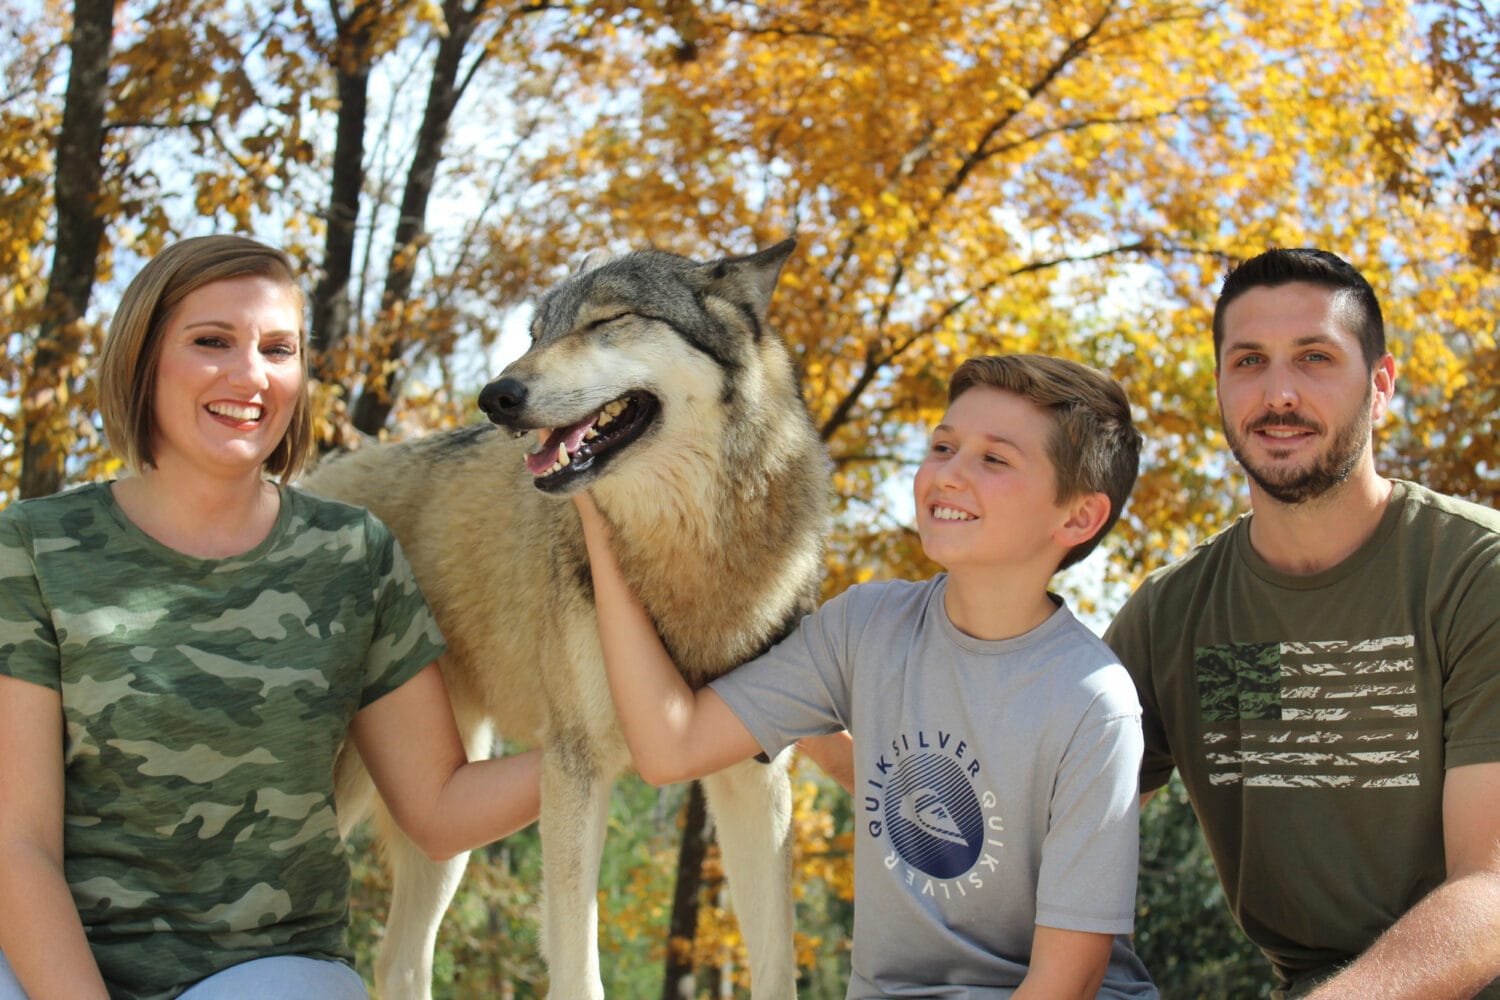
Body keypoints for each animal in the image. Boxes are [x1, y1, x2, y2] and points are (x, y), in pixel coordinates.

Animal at [305, 238, 830, 999]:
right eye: (535, 334)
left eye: (606, 320)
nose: (496, 396)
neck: (688, 556)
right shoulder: (575, 766)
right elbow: (579, 972)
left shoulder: (752, 774)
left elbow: (776, 968)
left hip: (447, 812)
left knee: (399, 961)